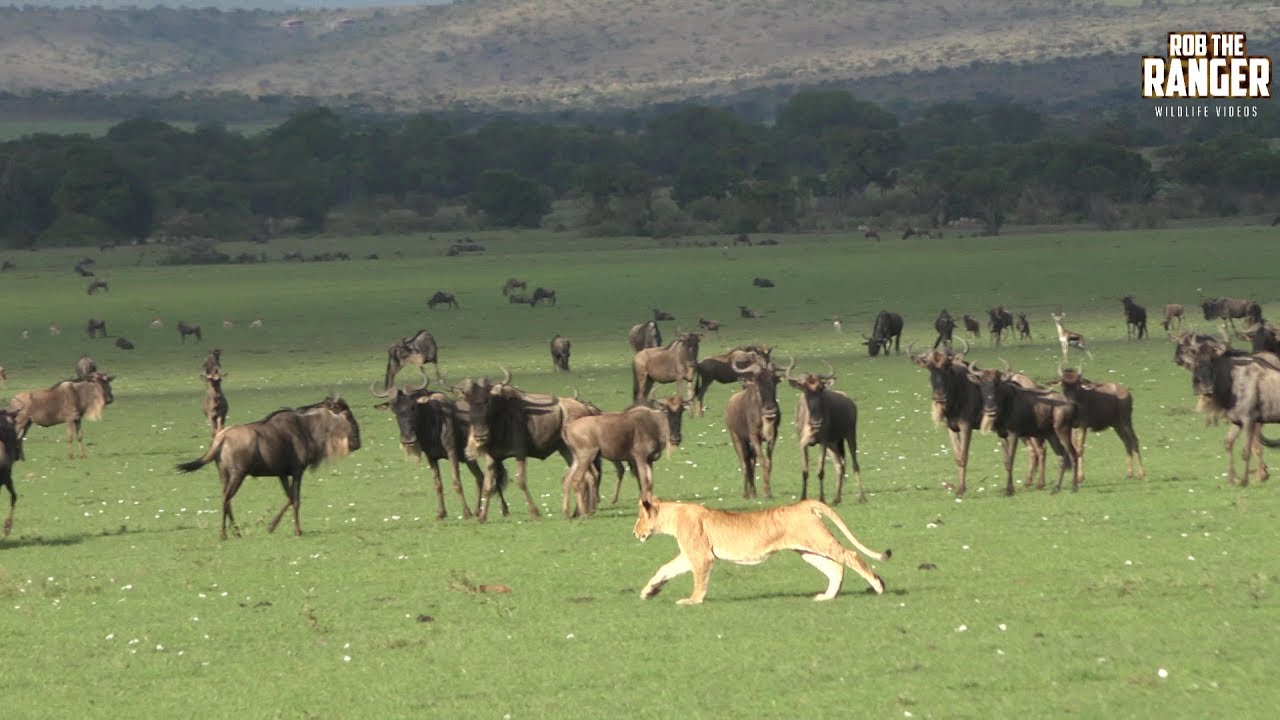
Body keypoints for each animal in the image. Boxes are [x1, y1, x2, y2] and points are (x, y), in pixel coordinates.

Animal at [633, 497, 890, 604]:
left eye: (639, 518)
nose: (634, 532)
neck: (673, 516)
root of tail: (804, 504)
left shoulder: (701, 557)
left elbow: (699, 581)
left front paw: (692, 600)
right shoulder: (689, 556)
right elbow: (664, 570)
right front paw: (649, 592)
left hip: (817, 541)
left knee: (851, 555)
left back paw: (878, 585)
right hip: (808, 550)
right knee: (836, 567)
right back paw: (827, 597)